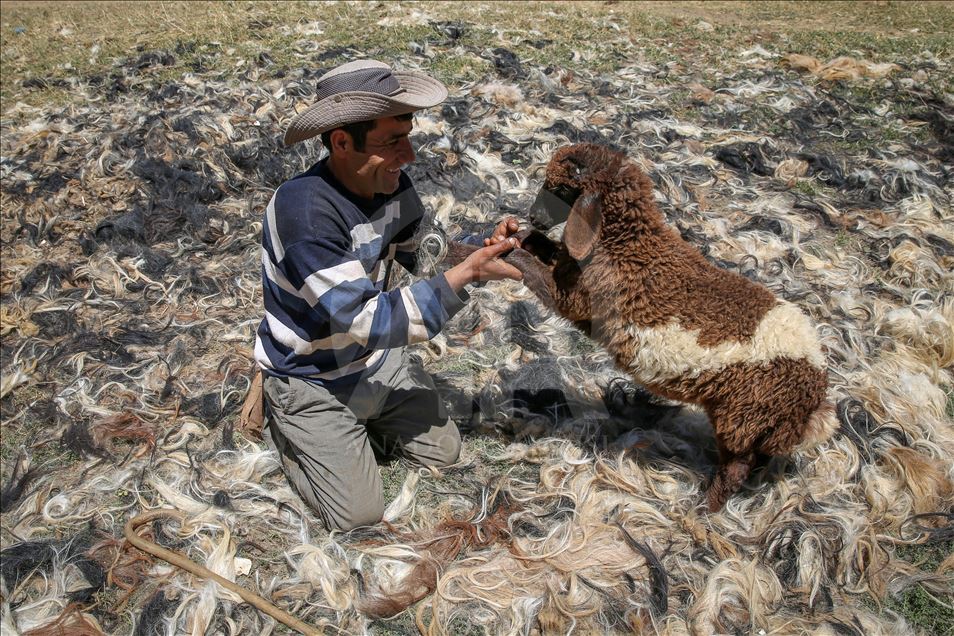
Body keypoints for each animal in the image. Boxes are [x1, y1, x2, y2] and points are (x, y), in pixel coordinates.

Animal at [503, 143, 839, 512]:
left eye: (561, 188)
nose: (534, 217)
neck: (628, 246)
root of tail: (814, 389)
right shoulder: (570, 265)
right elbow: (547, 249)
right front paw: (519, 236)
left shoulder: (577, 298)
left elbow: (538, 275)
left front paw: (508, 254)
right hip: (759, 423)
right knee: (756, 459)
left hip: (744, 414)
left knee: (736, 467)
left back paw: (706, 508)